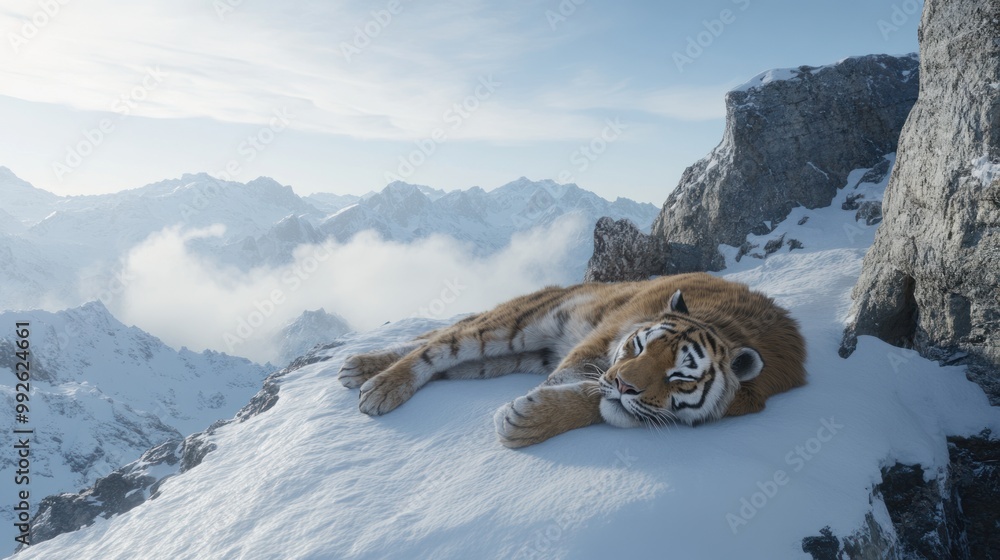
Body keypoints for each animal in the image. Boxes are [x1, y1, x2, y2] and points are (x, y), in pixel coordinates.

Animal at [338, 272, 806, 448]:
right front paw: (523, 414)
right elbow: (574, 379)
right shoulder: (601, 340)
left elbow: (595, 400)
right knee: (433, 348)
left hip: (507, 356)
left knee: (438, 354)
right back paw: (376, 385)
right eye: (639, 347)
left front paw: (525, 419)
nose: (625, 384)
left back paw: (359, 368)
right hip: (511, 328)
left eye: (678, 376)